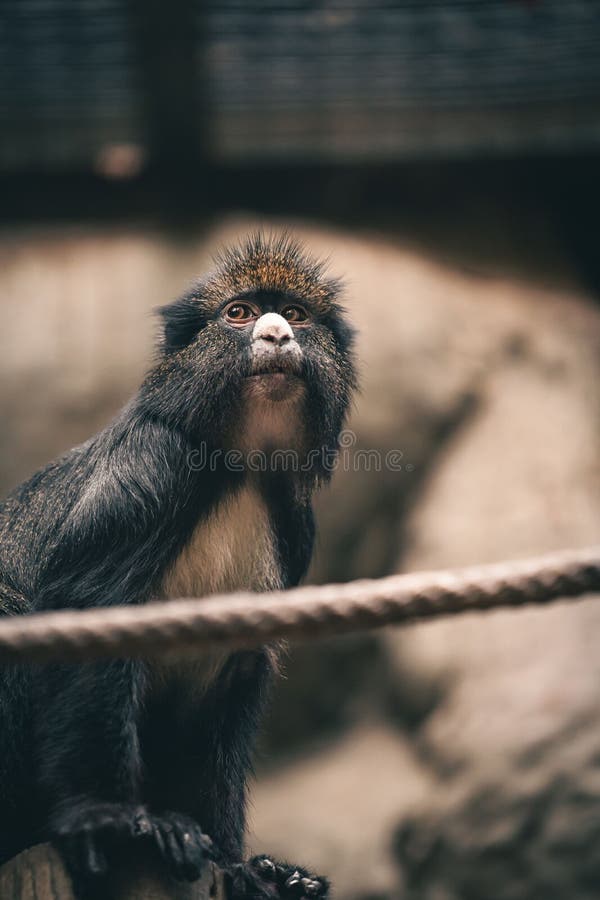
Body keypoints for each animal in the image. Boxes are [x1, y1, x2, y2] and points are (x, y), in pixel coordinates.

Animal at [0, 234, 356, 898]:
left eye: (295, 315)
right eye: (239, 314)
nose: (276, 334)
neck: (241, 465)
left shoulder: (295, 524)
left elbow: (235, 667)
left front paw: (244, 866)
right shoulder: (158, 463)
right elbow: (89, 609)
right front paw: (107, 818)